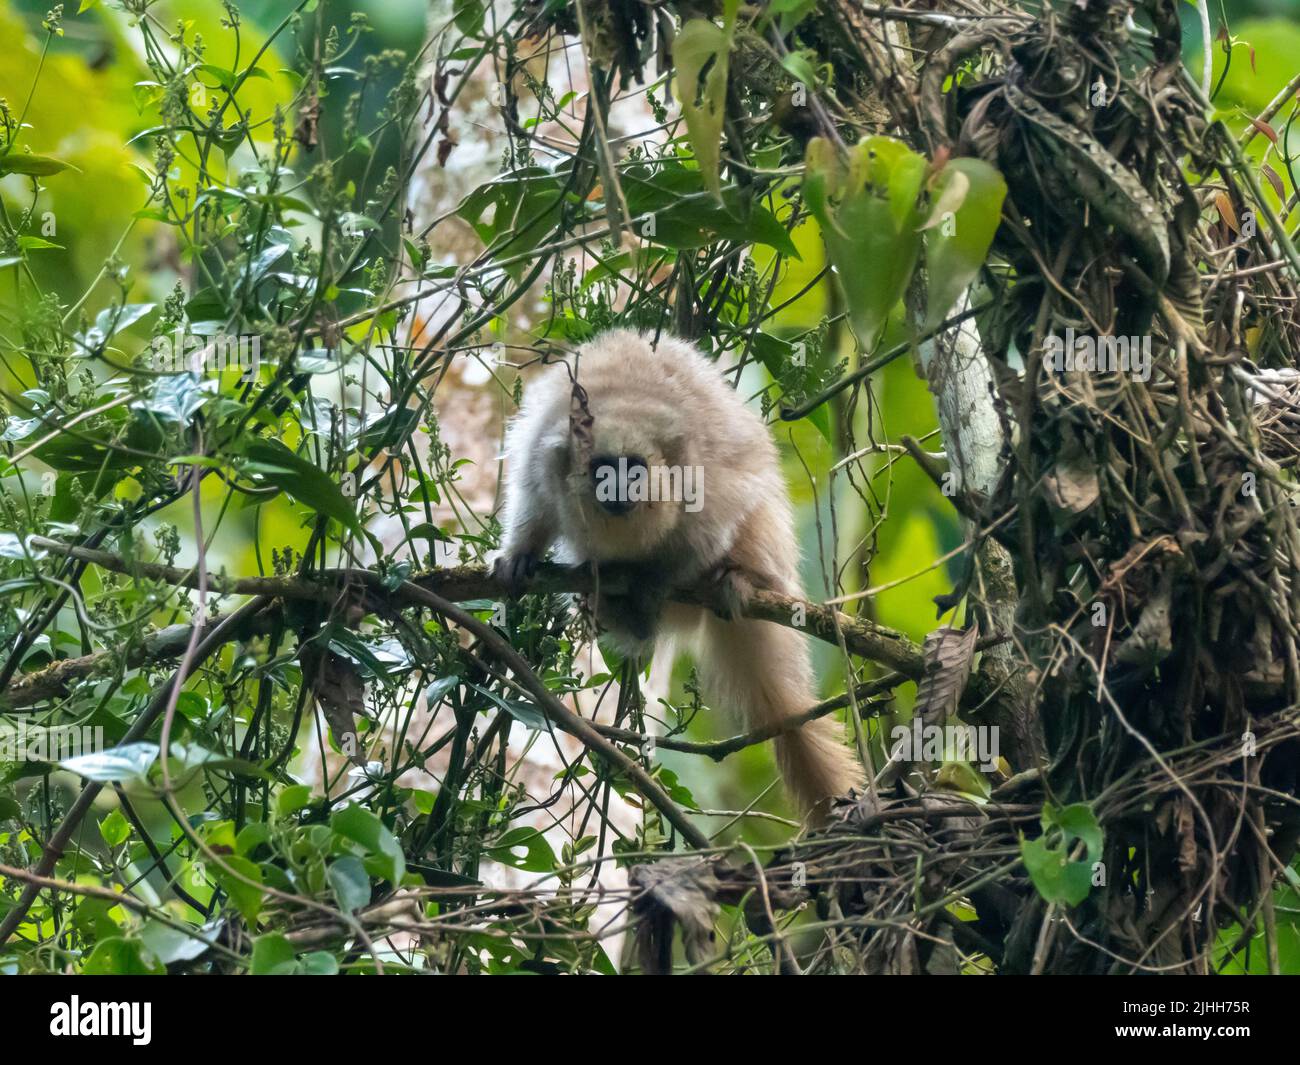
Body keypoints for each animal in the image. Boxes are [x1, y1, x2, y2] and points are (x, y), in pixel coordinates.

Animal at [491, 328, 863, 818]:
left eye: (634, 470)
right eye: (603, 470)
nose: (618, 492)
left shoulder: (702, 476)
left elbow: (709, 529)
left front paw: (650, 586)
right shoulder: (543, 455)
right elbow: (533, 504)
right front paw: (520, 555)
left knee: (757, 510)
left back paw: (732, 582)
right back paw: (612, 606)